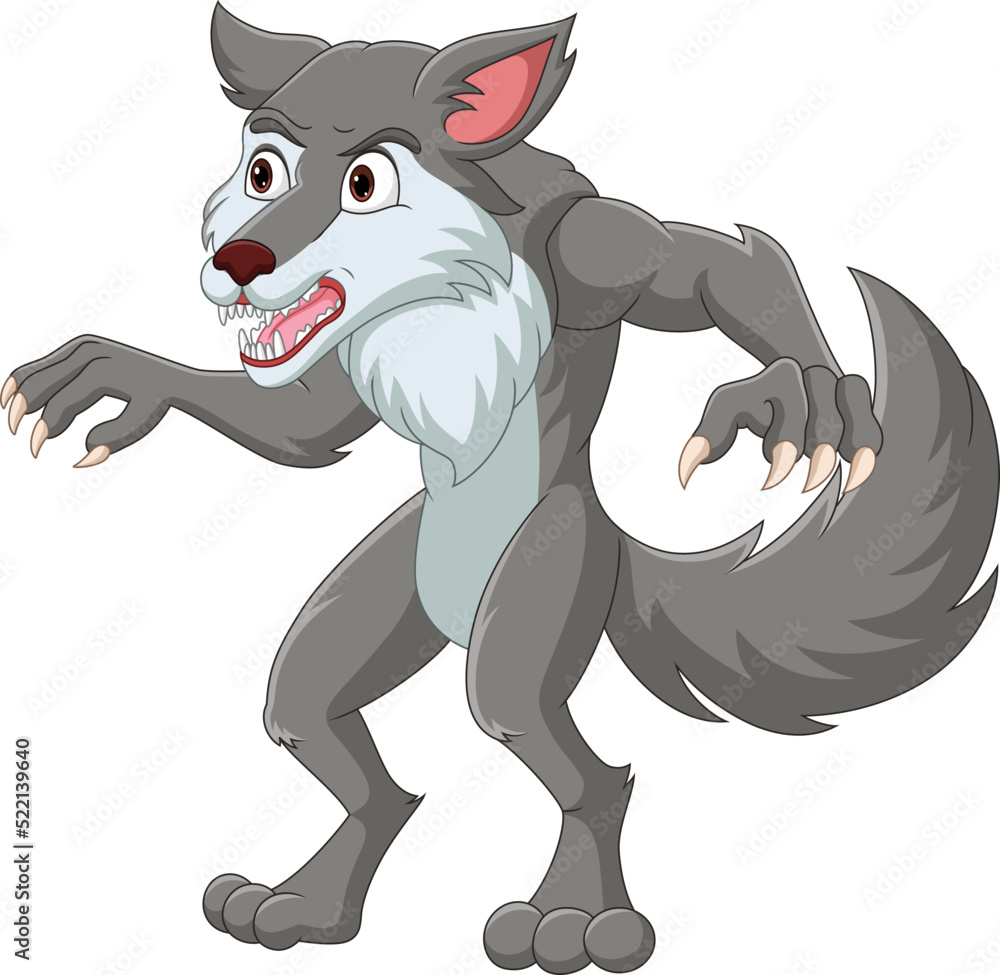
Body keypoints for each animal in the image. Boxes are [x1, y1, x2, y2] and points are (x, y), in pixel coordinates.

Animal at [5, 6, 997, 972]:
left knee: (545, 738)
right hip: (390, 584)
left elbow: (711, 266)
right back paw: (311, 905)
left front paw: (804, 388)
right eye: (261, 172)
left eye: (364, 181)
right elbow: (306, 425)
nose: (241, 257)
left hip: (551, 569)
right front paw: (120, 375)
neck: (437, 296)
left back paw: (574, 919)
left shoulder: (594, 250)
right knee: (314, 718)